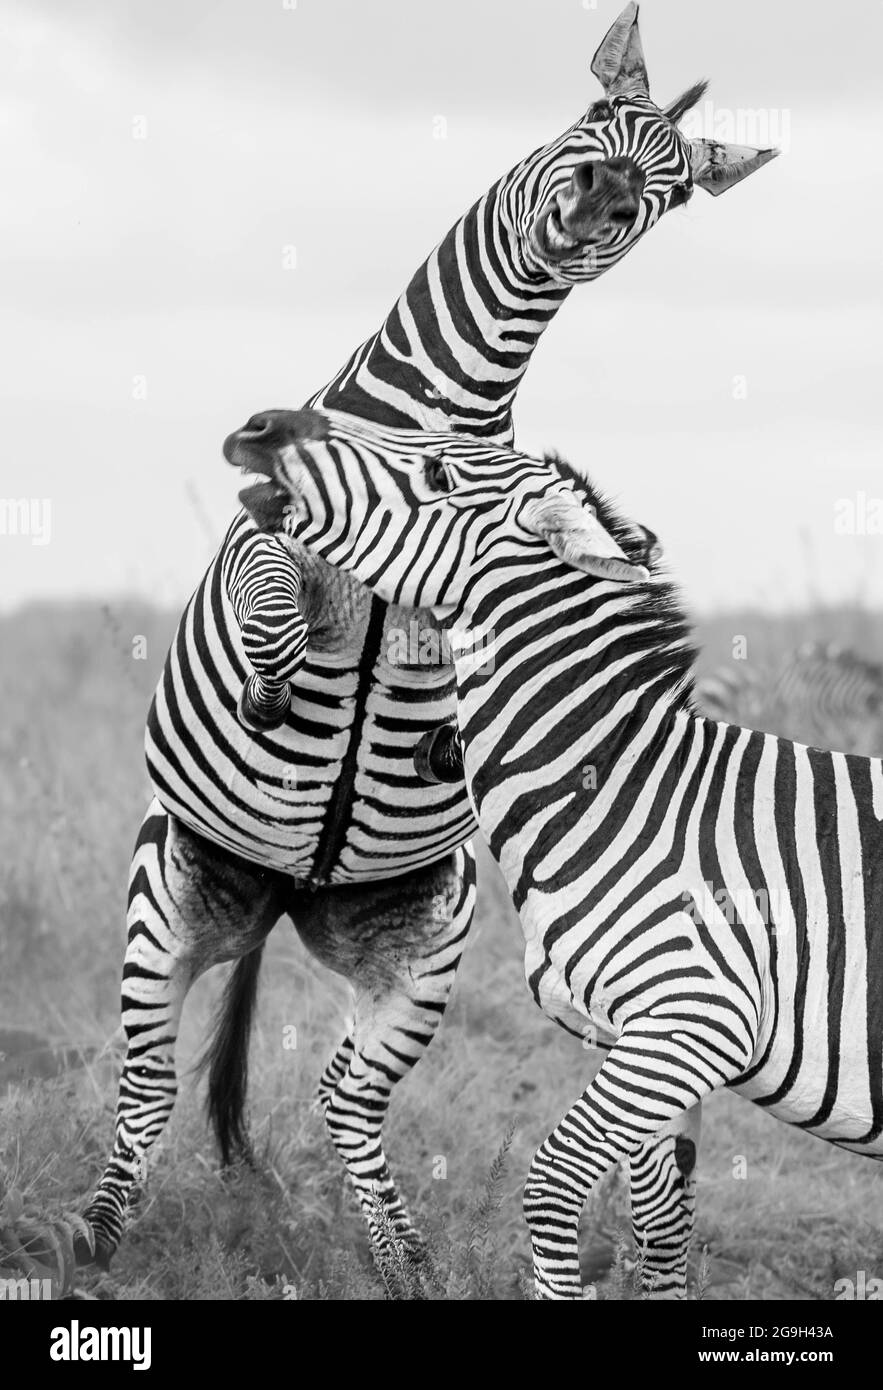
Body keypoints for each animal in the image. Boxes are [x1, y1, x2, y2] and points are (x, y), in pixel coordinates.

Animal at [79, 3, 777, 1275]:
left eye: (670, 193)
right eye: (594, 121)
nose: (606, 196)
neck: (439, 418)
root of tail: (285, 891)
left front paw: (438, 740)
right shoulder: (264, 531)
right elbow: (270, 590)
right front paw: (272, 682)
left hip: (423, 943)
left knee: (345, 1094)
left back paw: (400, 1255)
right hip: (169, 897)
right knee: (147, 1079)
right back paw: (99, 1230)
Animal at [225, 404, 883, 1301]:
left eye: (439, 475)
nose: (261, 425)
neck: (628, 797)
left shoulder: (692, 1019)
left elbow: (550, 1183)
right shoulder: (632, 1038)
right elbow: (660, 1226)